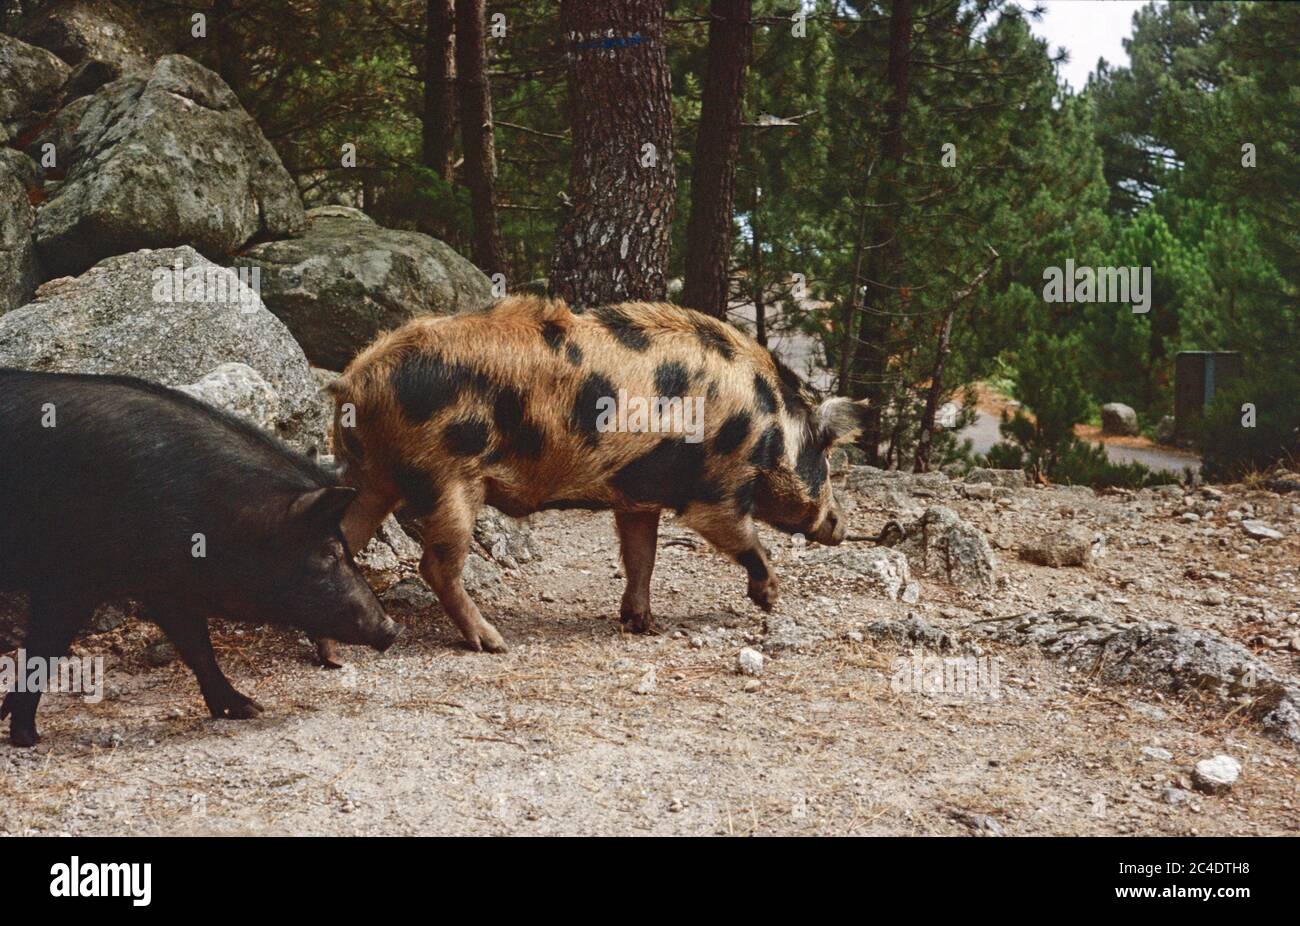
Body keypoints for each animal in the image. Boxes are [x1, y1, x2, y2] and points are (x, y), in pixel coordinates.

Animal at [0, 369, 400, 746]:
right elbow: (44, 649)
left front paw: (249, 708)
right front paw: (27, 736)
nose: (391, 628)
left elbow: (197, 645)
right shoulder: (68, 579)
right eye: (330, 550)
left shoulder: (166, 585)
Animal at [316, 295, 869, 661]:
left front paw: (643, 624)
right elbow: (741, 536)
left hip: (375, 475)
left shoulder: (638, 495)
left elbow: (642, 556)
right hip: (447, 479)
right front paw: (770, 598)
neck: (766, 422)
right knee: (435, 564)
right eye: (824, 454)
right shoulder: (717, 487)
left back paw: (331, 652)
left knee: (339, 541)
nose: (841, 526)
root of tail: (355, 379)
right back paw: (493, 643)